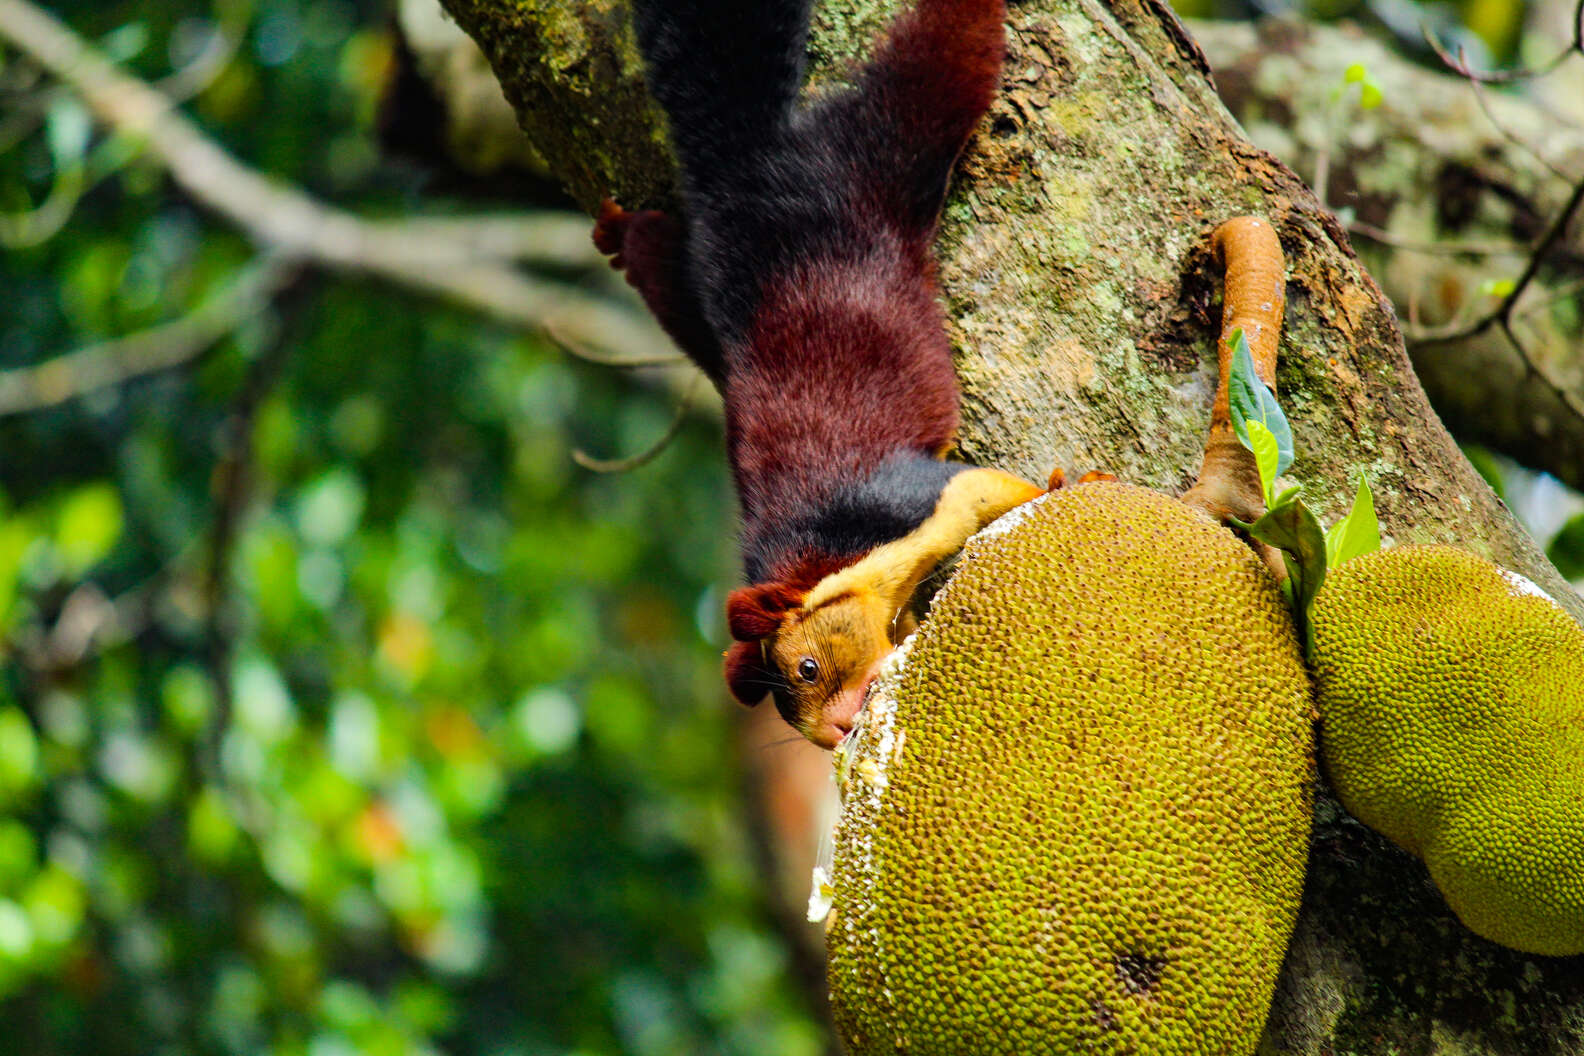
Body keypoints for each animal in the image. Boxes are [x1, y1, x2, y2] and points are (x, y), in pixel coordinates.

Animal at [593, 0, 1058, 749]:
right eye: (787, 712)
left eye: (807, 667)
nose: (836, 732)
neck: (822, 566)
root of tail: (750, 167)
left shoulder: (901, 503)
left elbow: (991, 488)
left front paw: (1067, 484)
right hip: (699, 281)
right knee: (660, 259)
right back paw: (618, 231)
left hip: (874, 160)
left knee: (938, 68)